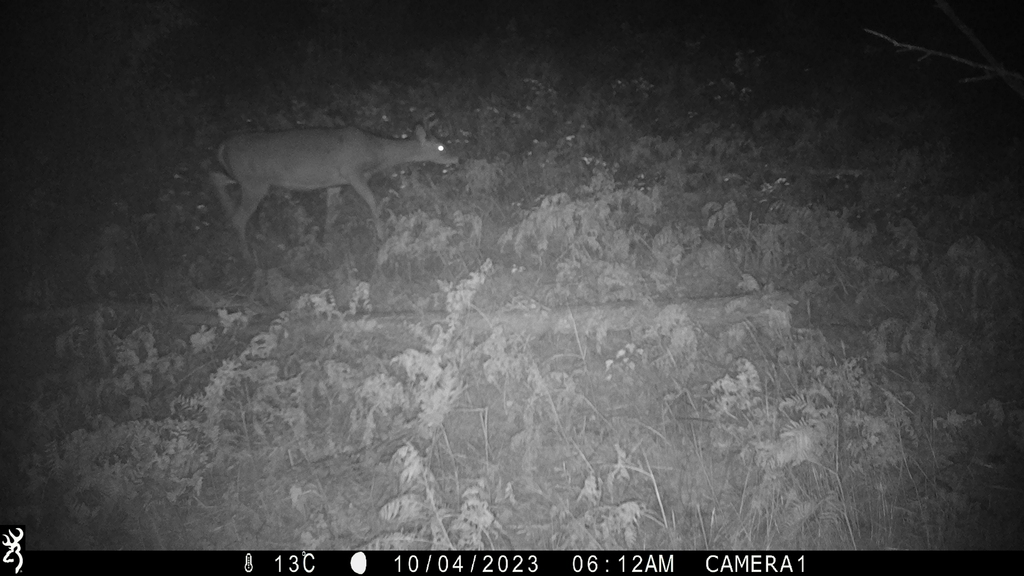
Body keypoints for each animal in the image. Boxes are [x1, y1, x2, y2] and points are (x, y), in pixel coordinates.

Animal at [207, 123, 458, 261]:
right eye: (440, 146)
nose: (455, 158)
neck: (375, 153)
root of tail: (223, 146)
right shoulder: (352, 172)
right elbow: (372, 201)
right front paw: (382, 237)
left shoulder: (334, 182)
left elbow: (331, 212)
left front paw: (326, 242)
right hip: (254, 182)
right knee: (239, 218)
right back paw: (249, 258)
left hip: (244, 178)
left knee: (216, 178)